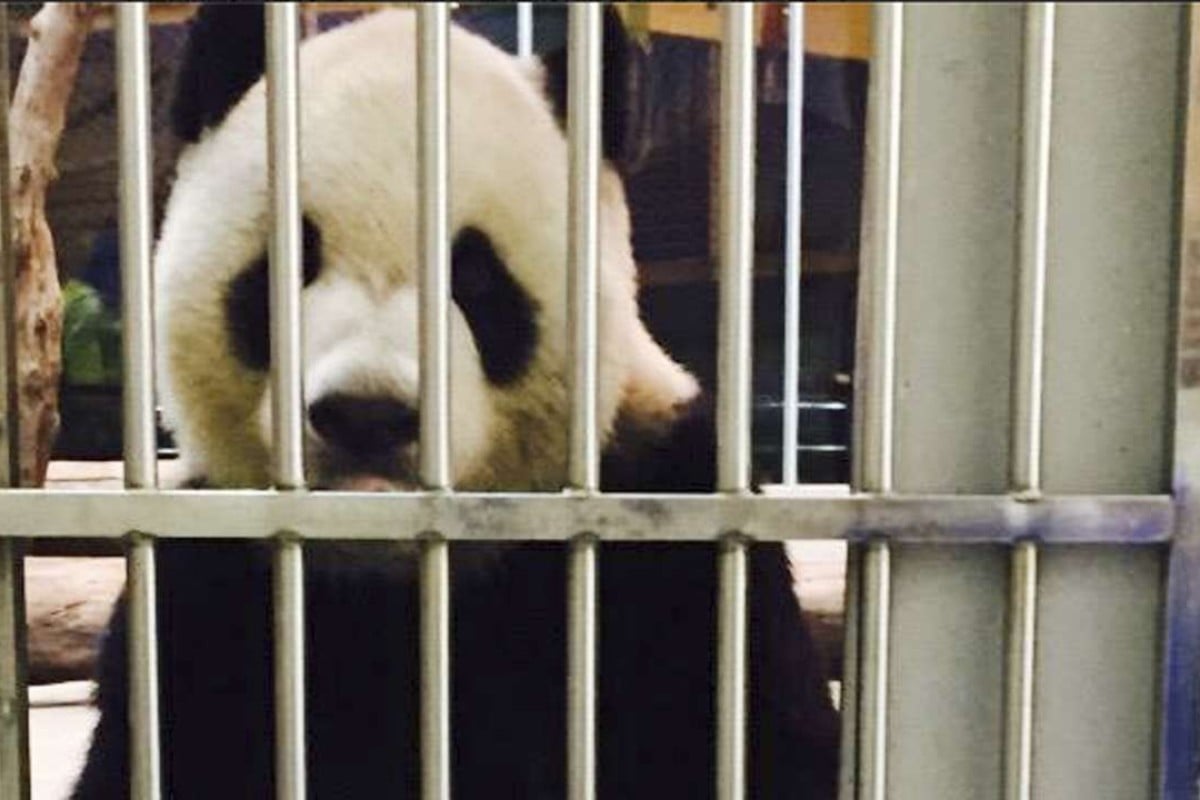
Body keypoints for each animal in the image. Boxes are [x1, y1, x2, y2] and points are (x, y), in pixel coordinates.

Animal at [71, 5, 840, 798]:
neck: (396, 570)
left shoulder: (674, 529)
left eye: (474, 278)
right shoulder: (202, 587)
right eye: (289, 267)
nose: (366, 416)